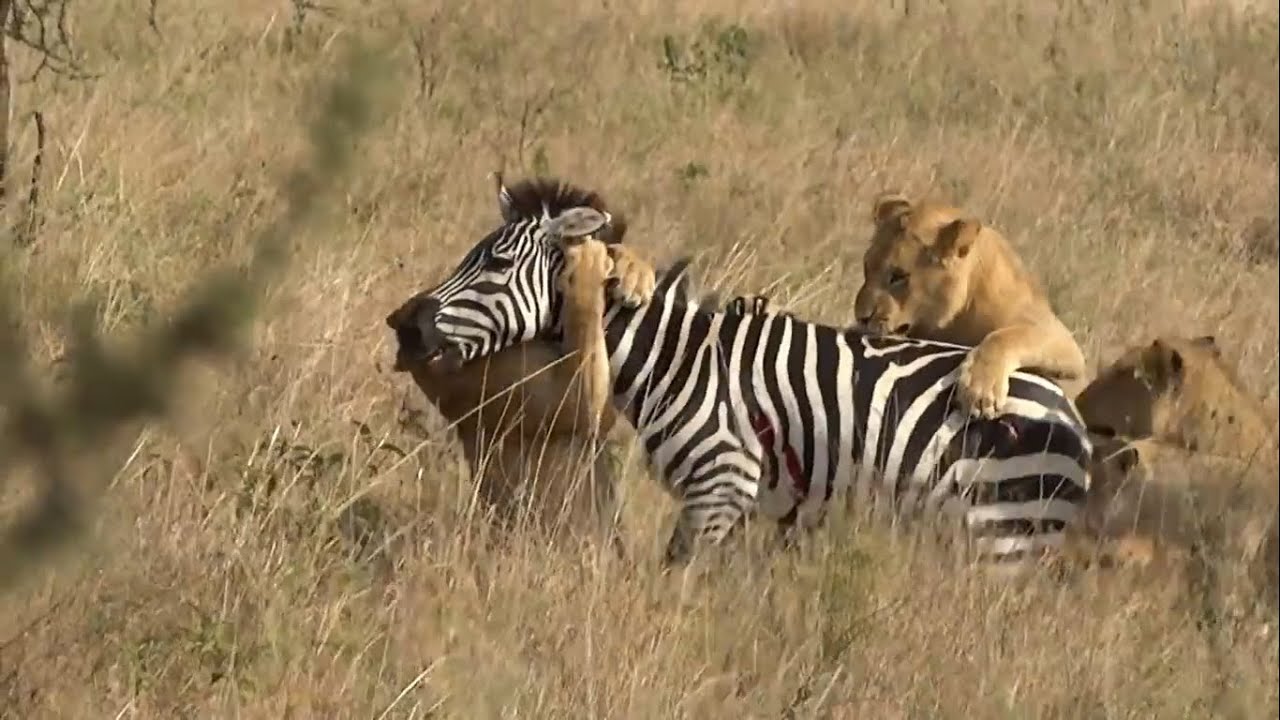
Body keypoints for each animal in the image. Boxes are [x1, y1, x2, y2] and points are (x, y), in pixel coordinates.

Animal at [853, 192, 1087, 418]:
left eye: (899, 276)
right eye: (866, 267)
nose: (861, 318)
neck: (955, 321)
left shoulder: (1062, 341)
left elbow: (1003, 337)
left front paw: (980, 391)